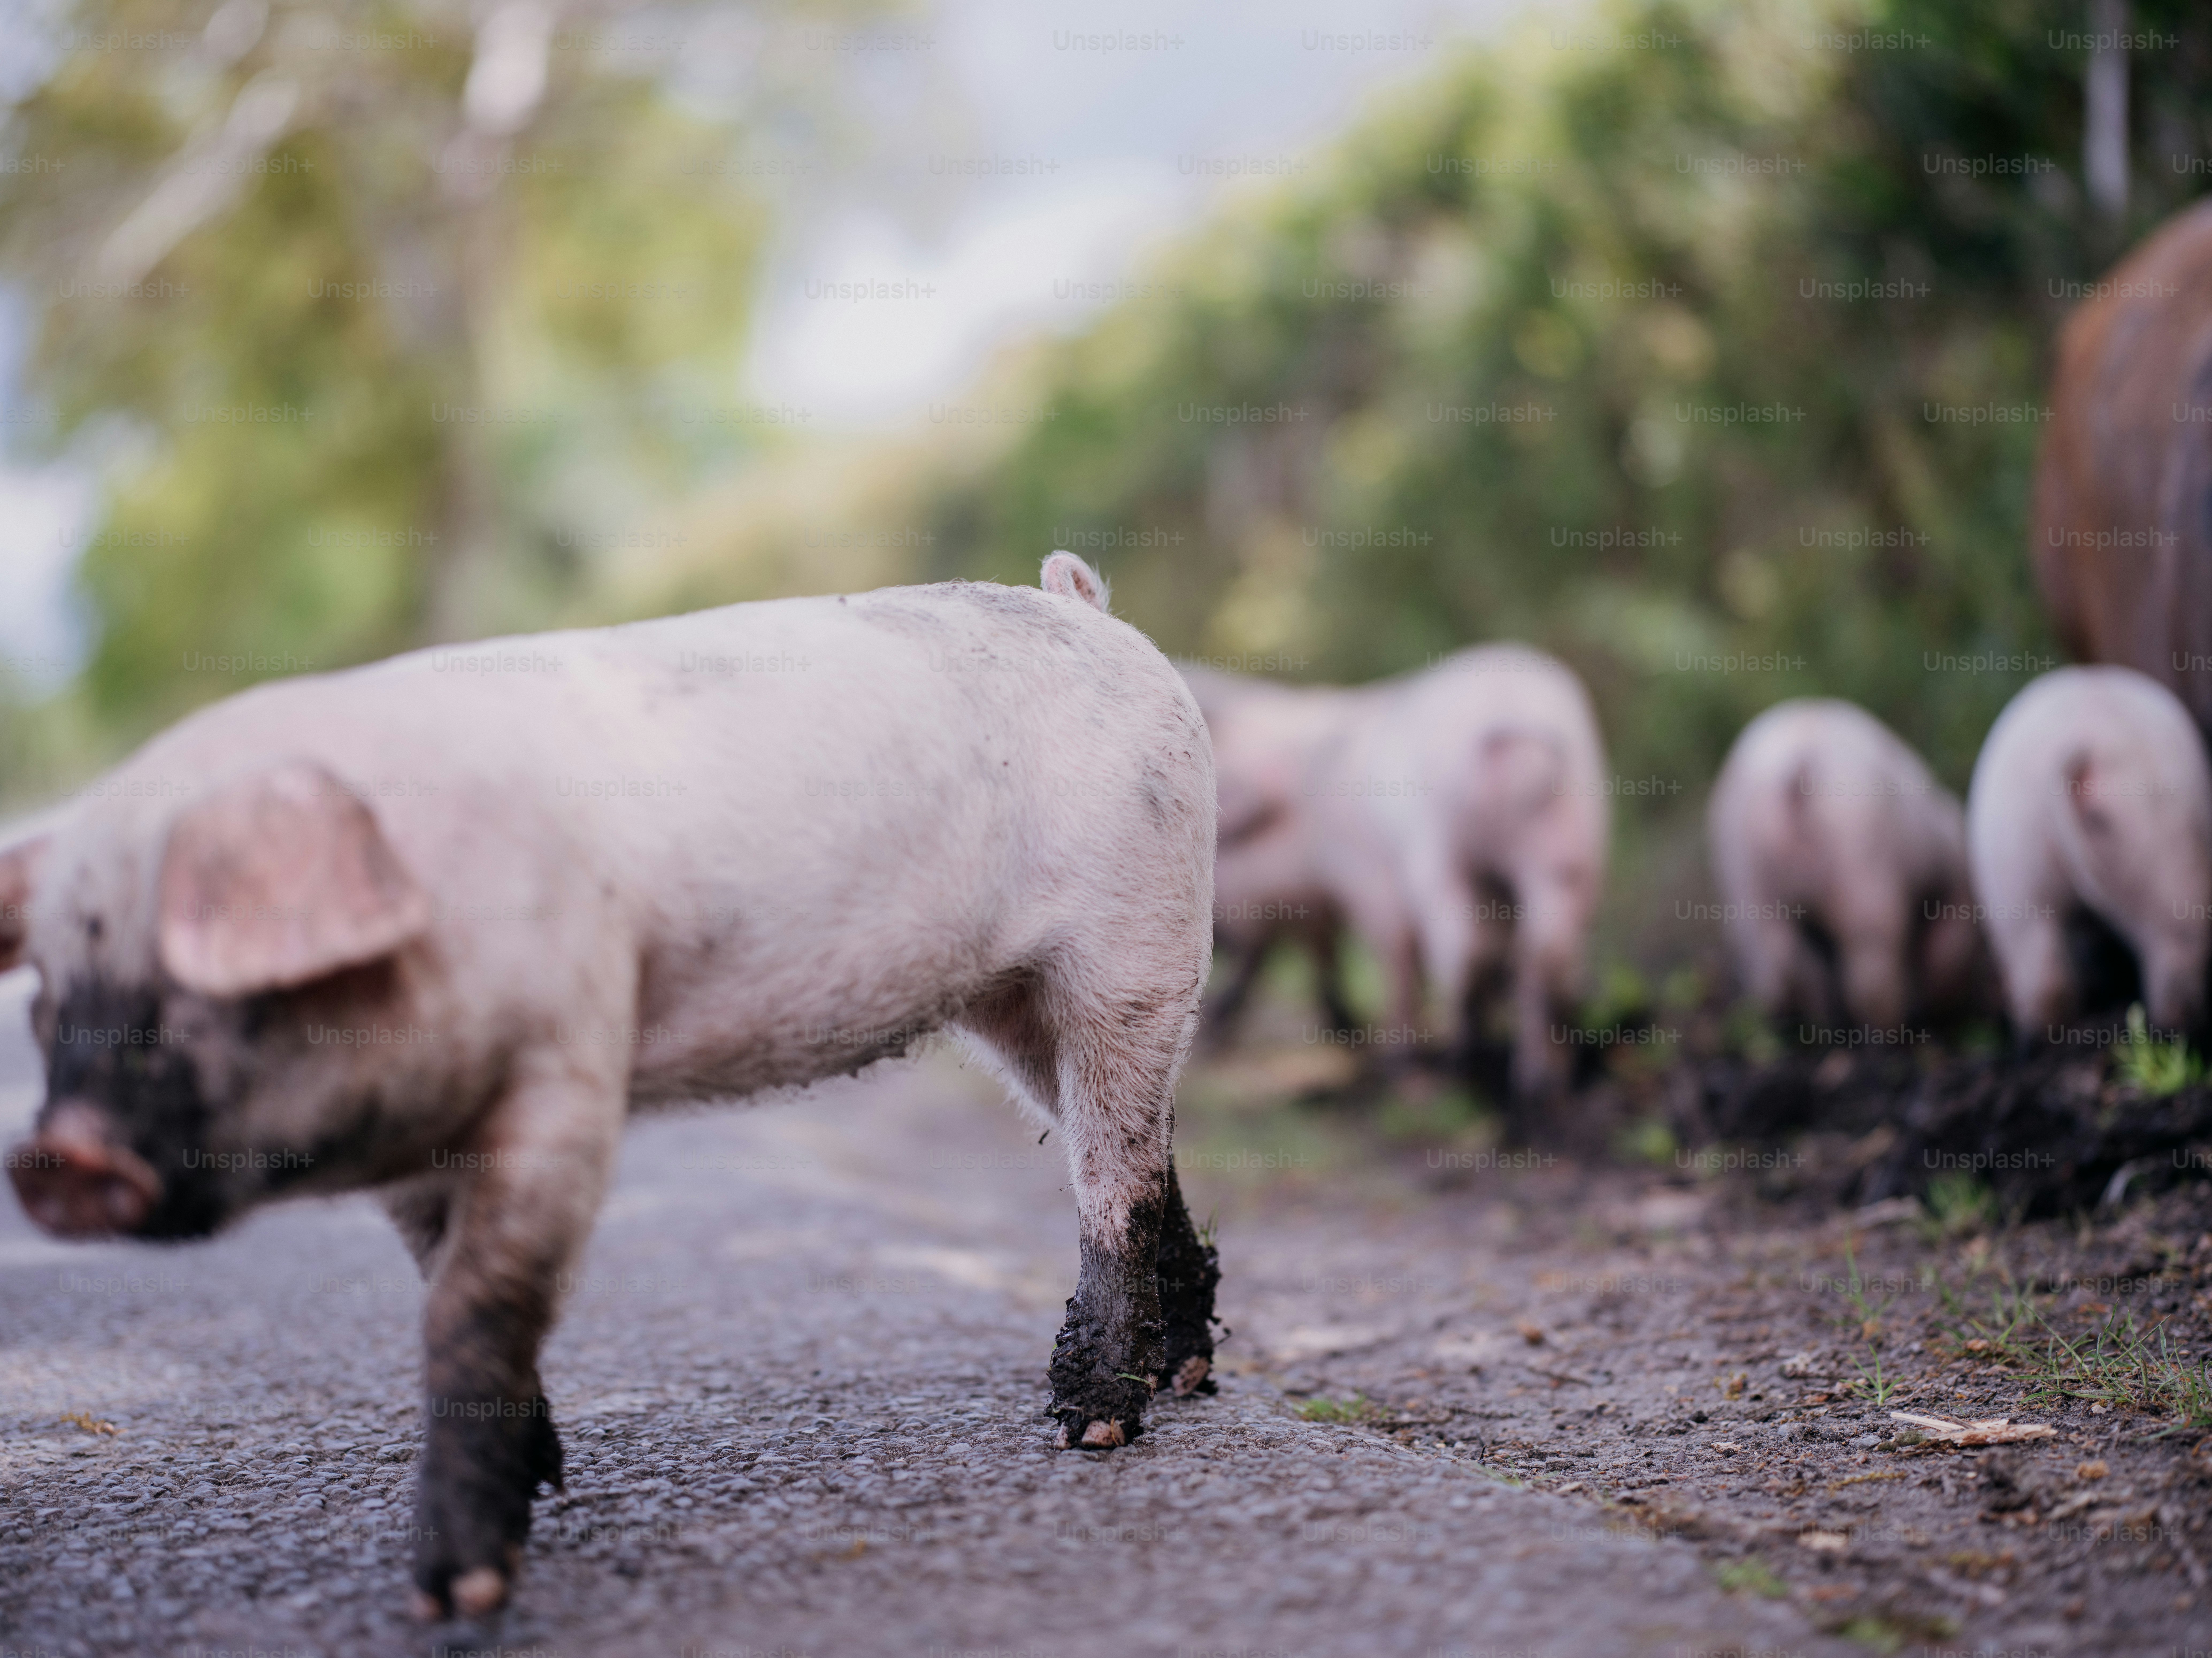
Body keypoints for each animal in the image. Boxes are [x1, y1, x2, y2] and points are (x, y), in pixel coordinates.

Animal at [0, 552, 1219, 1619]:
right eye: (50, 996)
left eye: (205, 982)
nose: (57, 1156)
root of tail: (1088, 608)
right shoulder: (416, 1145)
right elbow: (439, 1278)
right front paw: (538, 1485)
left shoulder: (571, 1062)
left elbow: (476, 1298)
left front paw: (454, 1595)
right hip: (1006, 1001)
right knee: (1146, 1147)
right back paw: (1184, 1375)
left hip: (1137, 944)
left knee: (1113, 1172)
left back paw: (1093, 1426)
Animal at [1300, 644, 1609, 1100]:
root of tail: (1506, 707)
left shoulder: (1372, 881)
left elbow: (1398, 956)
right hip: (1572, 838)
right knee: (1545, 951)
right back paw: (1542, 1082)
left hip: (1440, 849)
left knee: (1463, 949)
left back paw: (1462, 1063)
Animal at [1707, 699, 1983, 1033]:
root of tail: (1796, 779)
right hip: (1860, 856)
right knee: (1872, 958)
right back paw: (1891, 1031)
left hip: (1749, 880)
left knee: (1781, 963)